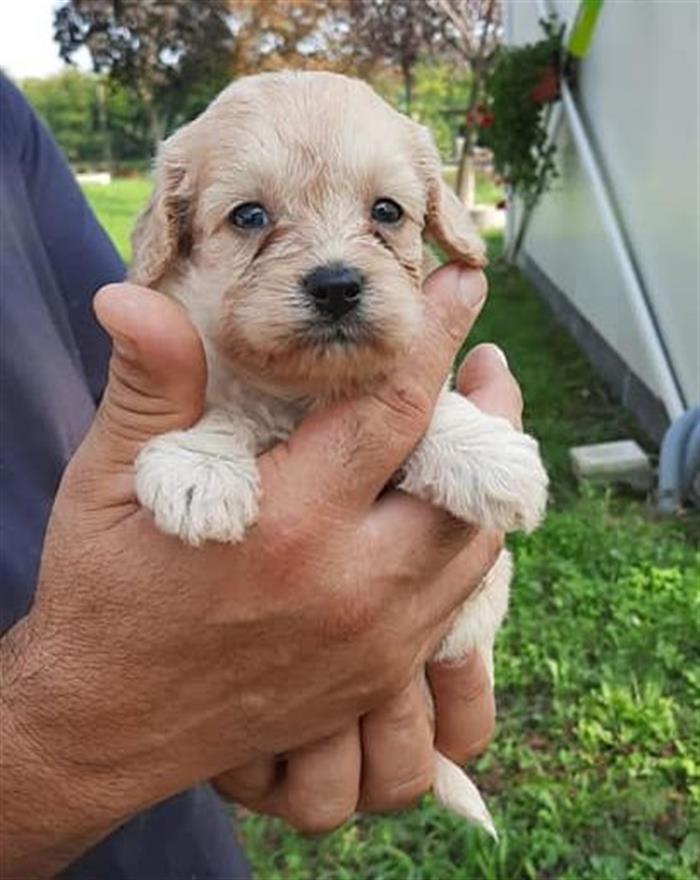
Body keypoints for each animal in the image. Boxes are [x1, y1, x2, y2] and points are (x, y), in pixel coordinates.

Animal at [129, 72, 548, 836]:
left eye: (387, 211)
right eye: (249, 216)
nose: (335, 285)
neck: (306, 391)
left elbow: (425, 399)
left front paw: (486, 455)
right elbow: (224, 406)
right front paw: (200, 468)